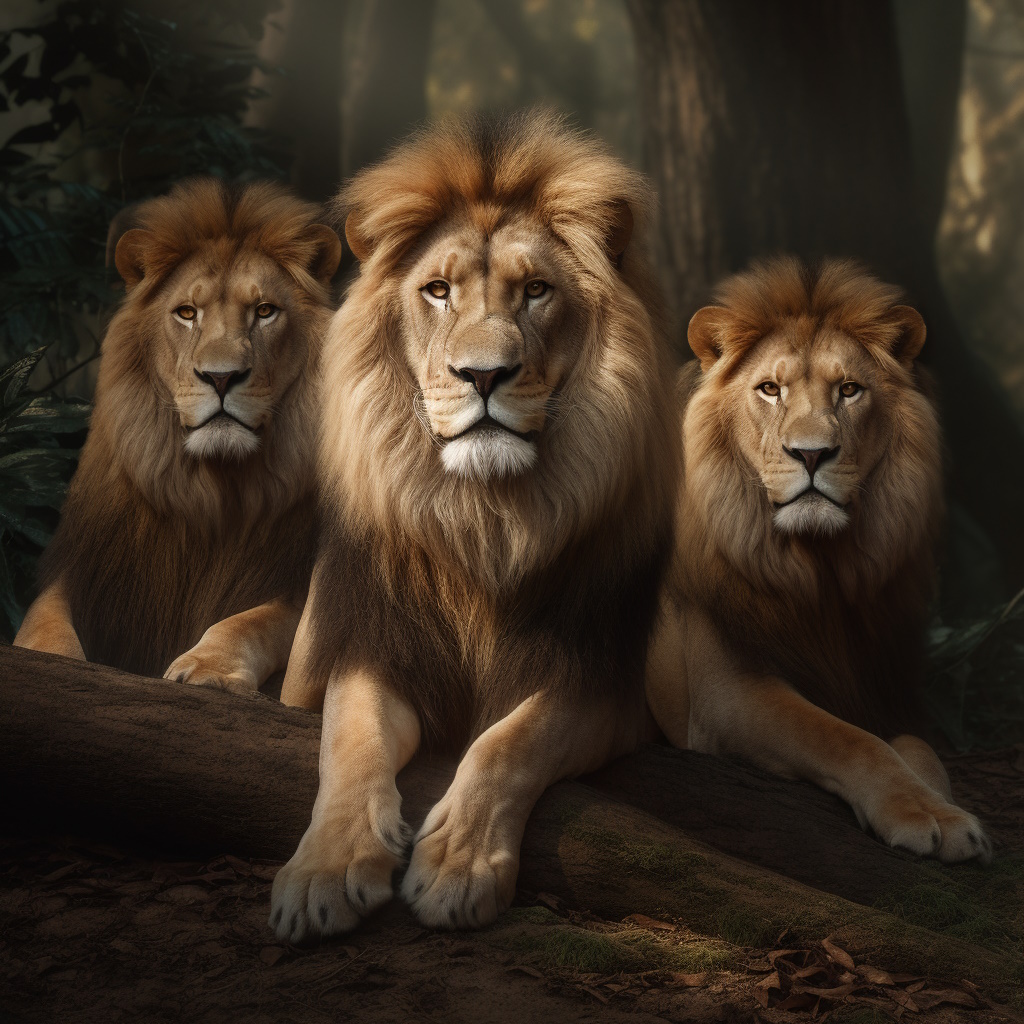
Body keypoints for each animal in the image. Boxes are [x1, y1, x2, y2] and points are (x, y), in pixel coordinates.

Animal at [14, 178, 341, 692]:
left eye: (265, 311)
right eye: (187, 312)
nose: (222, 378)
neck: (212, 496)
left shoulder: (299, 581)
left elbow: (253, 620)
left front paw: (209, 667)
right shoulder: (81, 571)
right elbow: (43, 630)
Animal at [269, 112, 679, 940]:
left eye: (536, 292)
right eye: (437, 291)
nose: (483, 376)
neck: (481, 518)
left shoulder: (601, 681)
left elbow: (510, 741)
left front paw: (457, 866)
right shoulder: (368, 646)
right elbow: (349, 742)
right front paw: (324, 869)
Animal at [646, 256, 992, 863]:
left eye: (849, 390)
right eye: (769, 389)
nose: (811, 455)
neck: (818, 574)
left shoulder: (877, 687)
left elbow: (913, 746)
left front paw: (943, 807)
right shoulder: (724, 697)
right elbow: (846, 739)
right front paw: (921, 812)